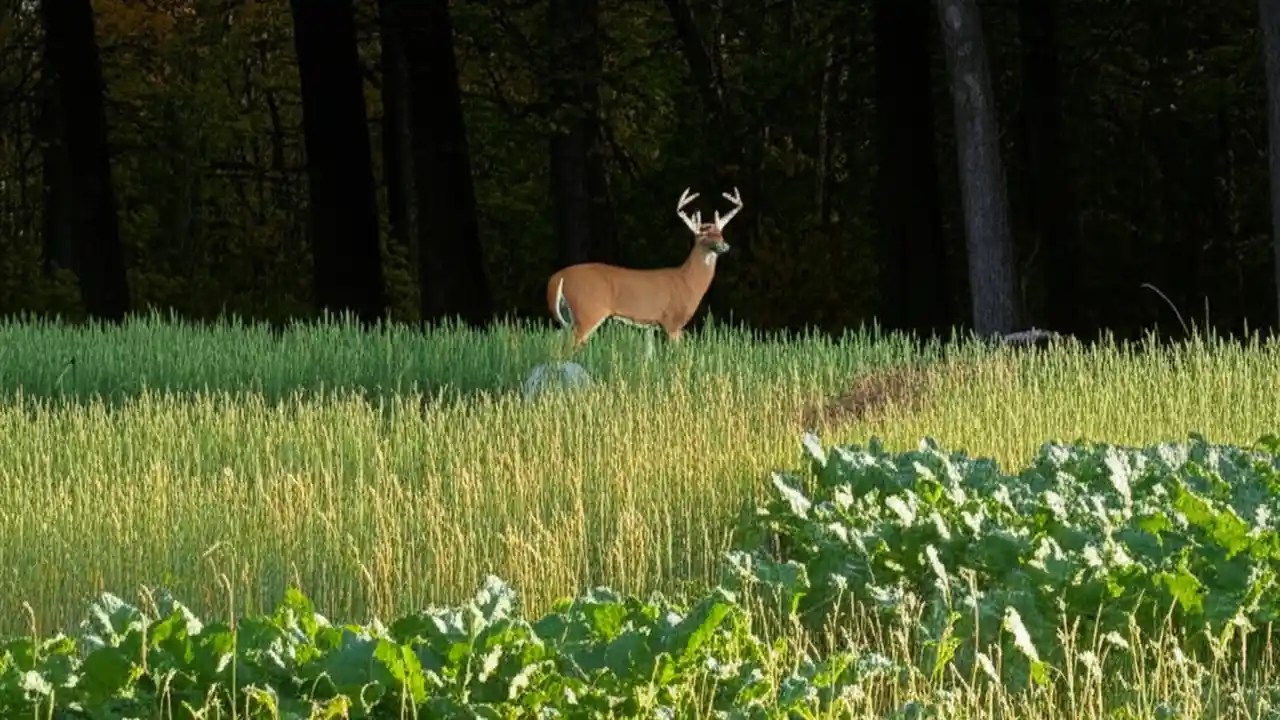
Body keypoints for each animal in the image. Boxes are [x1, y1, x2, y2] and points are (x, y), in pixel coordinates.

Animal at [545, 186, 743, 353]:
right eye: (703, 236)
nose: (724, 246)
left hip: (568, 316)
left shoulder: (651, 325)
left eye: (721, 234)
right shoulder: (672, 321)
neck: (687, 281)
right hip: (587, 309)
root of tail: (558, 277)